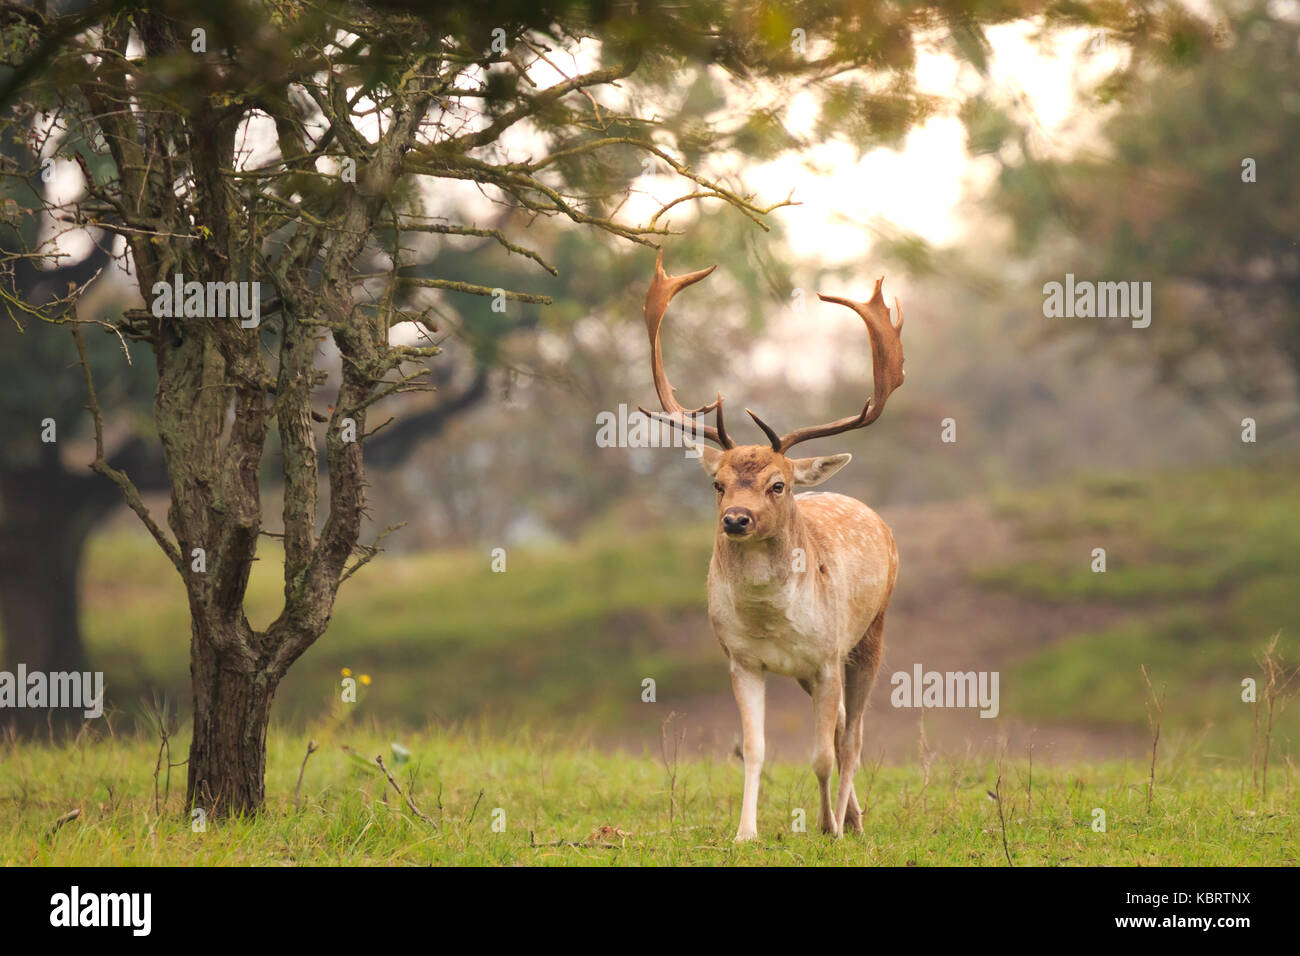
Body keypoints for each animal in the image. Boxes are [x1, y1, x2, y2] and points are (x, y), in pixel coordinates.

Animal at [636, 251, 905, 841]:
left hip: (870, 634)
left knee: (852, 736)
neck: (770, 621)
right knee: (844, 727)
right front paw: (745, 833)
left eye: (777, 485)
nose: (736, 519)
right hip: (813, 670)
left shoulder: (827, 656)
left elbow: (823, 755)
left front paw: (828, 827)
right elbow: (754, 750)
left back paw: (847, 821)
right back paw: (855, 814)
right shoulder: (742, 659)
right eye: (718, 484)